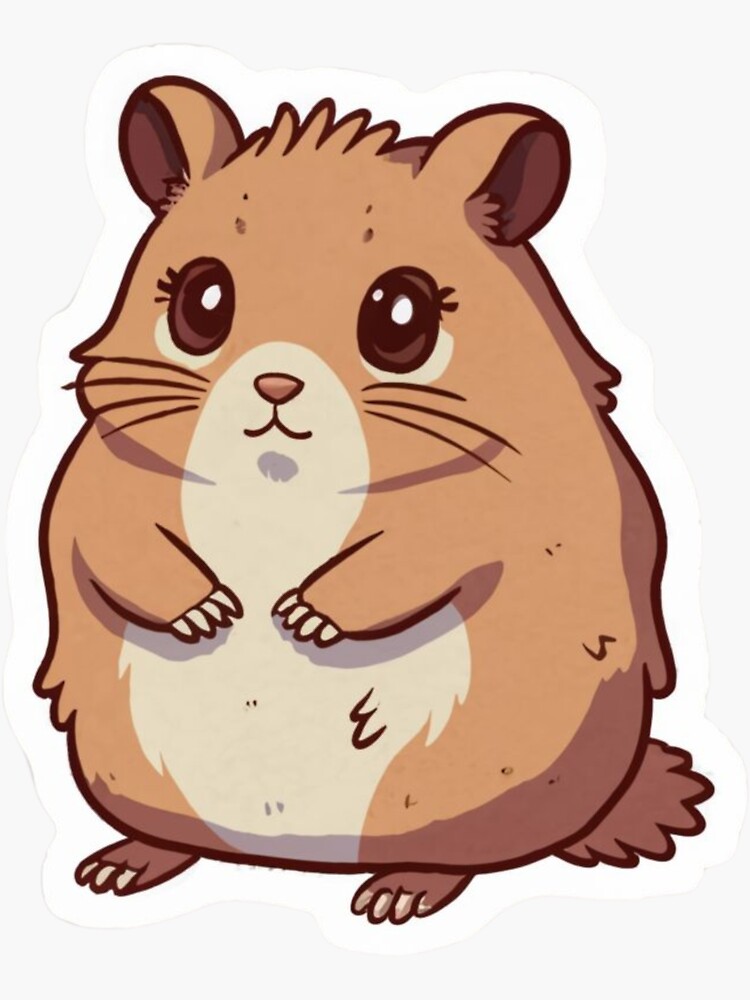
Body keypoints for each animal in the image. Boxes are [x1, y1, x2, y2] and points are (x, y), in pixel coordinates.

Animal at [35, 76, 713, 923]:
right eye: (199, 300)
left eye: (402, 316)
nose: (275, 384)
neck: (279, 484)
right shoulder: (104, 466)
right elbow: (107, 535)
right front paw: (208, 612)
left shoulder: (502, 494)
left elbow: (427, 550)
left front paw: (306, 616)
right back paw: (128, 862)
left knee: (466, 856)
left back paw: (402, 889)